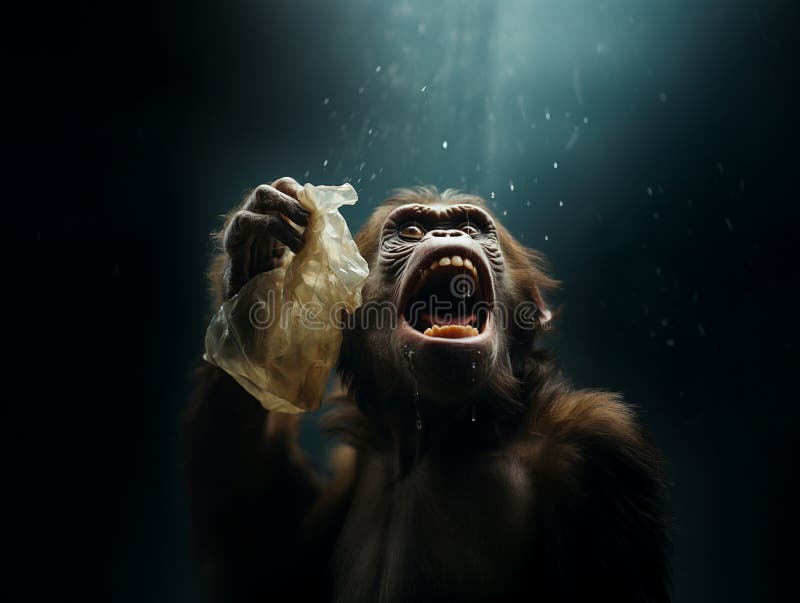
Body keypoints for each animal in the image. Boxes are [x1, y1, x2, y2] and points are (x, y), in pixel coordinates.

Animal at [185, 177, 671, 603]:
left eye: (473, 229)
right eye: (411, 232)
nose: (447, 231)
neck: (453, 432)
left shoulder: (601, 448)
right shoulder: (365, 457)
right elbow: (273, 565)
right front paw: (253, 252)